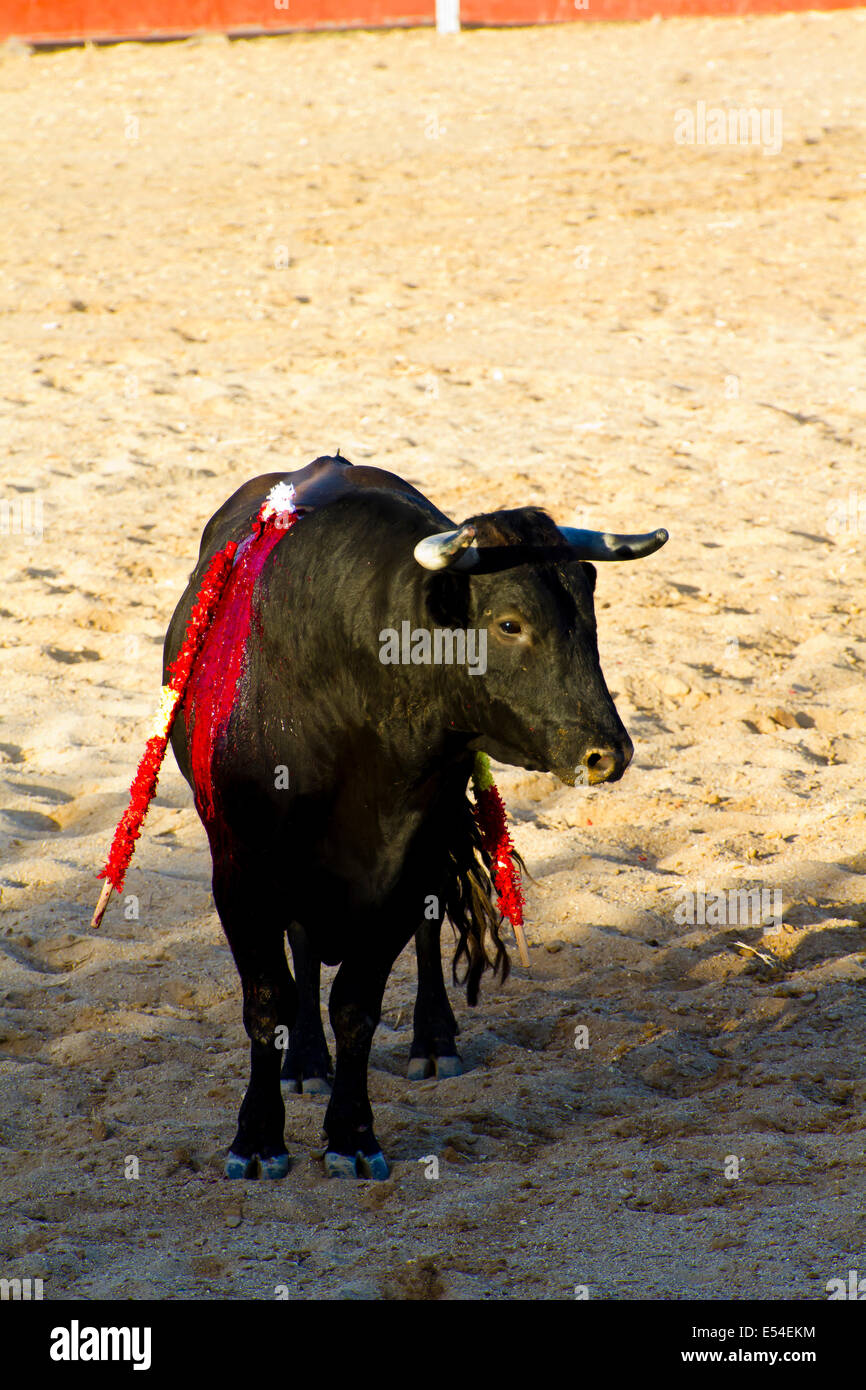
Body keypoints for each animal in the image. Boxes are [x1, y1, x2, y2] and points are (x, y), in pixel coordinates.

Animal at [163, 455, 668, 1179]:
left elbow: (357, 1003)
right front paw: (257, 1138)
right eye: (510, 623)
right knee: (304, 947)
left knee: (423, 935)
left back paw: (433, 1042)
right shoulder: (241, 872)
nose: (608, 753)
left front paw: (352, 1136)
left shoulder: (405, 866)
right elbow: (268, 1000)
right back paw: (305, 1062)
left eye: (590, 617)